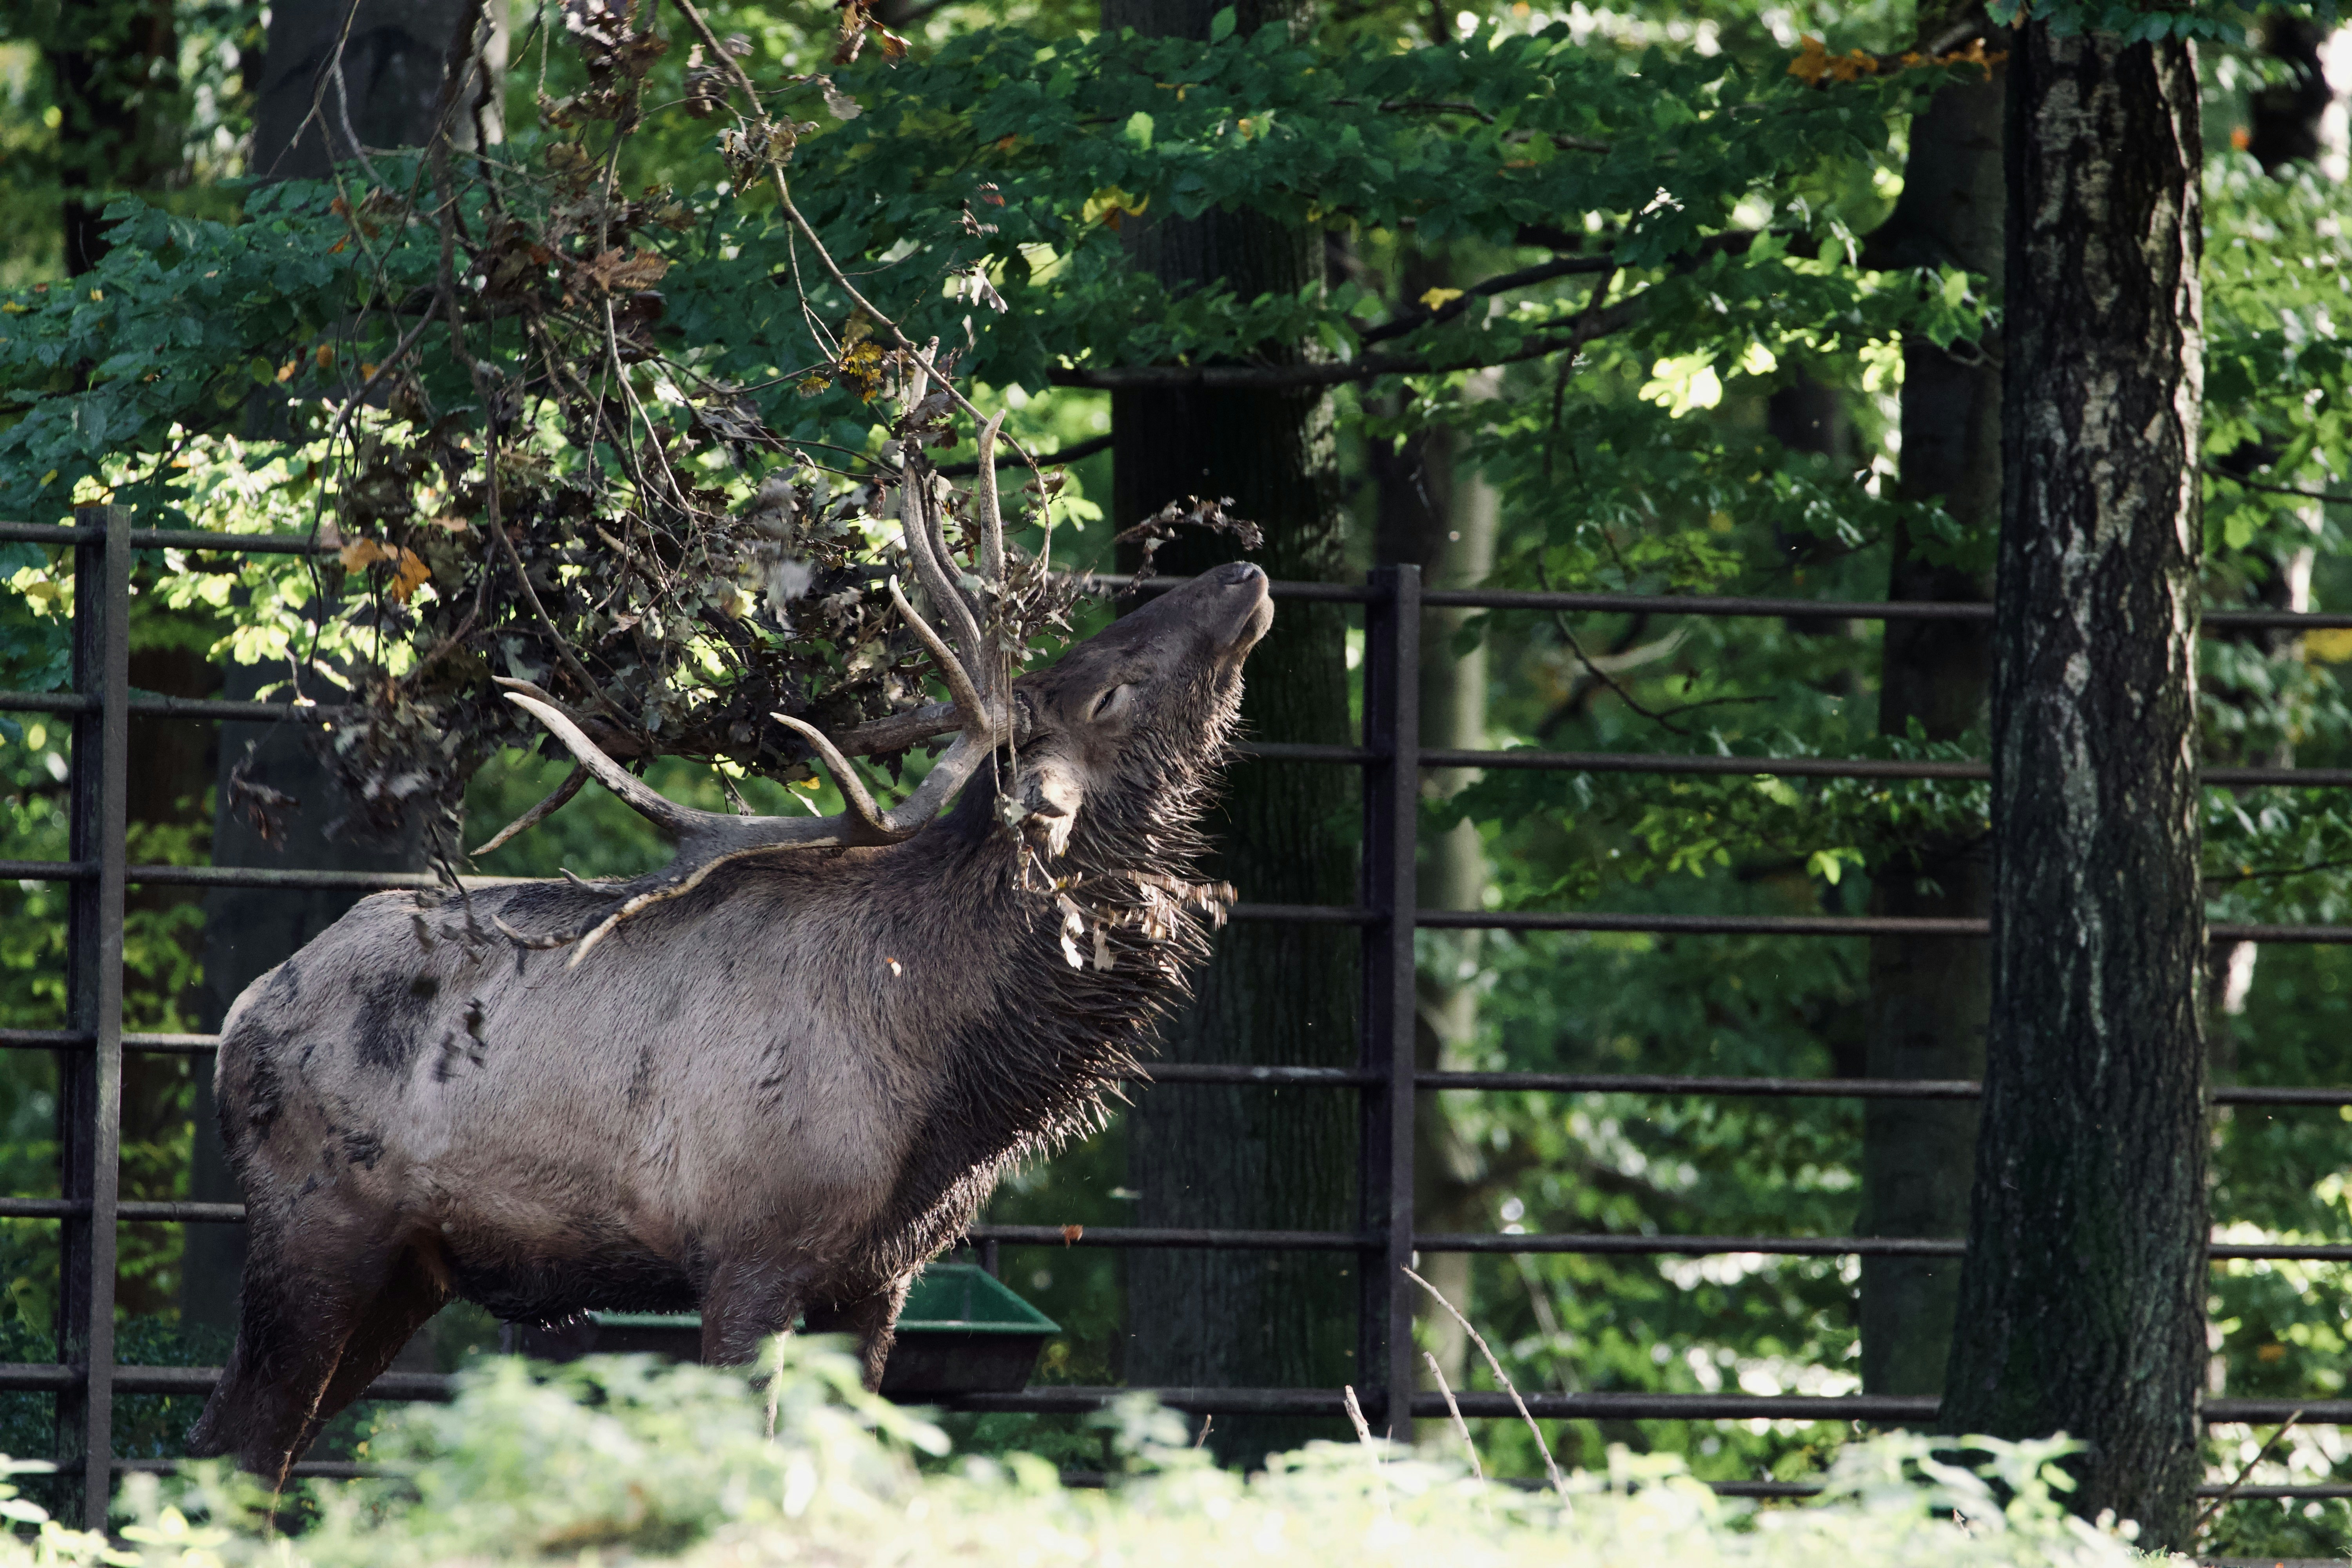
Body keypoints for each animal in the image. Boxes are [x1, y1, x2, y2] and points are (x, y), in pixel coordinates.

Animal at [184, 398, 1275, 1487]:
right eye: (1112, 692)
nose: (1241, 574)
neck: (945, 1085)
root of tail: (238, 1016)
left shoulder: (878, 1277)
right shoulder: (752, 1249)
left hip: (411, 1265)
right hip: (315, 1226)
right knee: (241, 1444)